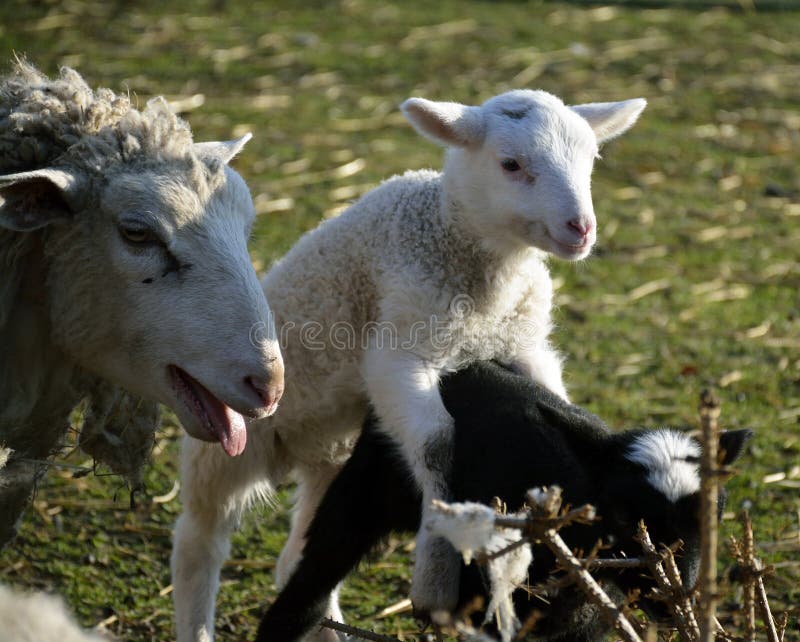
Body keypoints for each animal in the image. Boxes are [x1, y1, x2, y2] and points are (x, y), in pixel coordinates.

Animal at [172, 88, 646, 642]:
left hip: (334, 455)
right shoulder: (398, 351)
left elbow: (553, 399)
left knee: (297, 556)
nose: (581, 228)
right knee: (200, 539)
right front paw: (435, 571)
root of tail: (297, 449)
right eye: (510, 164)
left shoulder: (524, 346)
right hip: (226, 437)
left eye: (591, 160)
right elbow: (440, 441)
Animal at [255, 361, 752, 642]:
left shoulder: (587, 620)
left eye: (711, 517)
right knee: (311, 581)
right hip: (361, 495)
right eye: (624, 515)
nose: (675, 602)